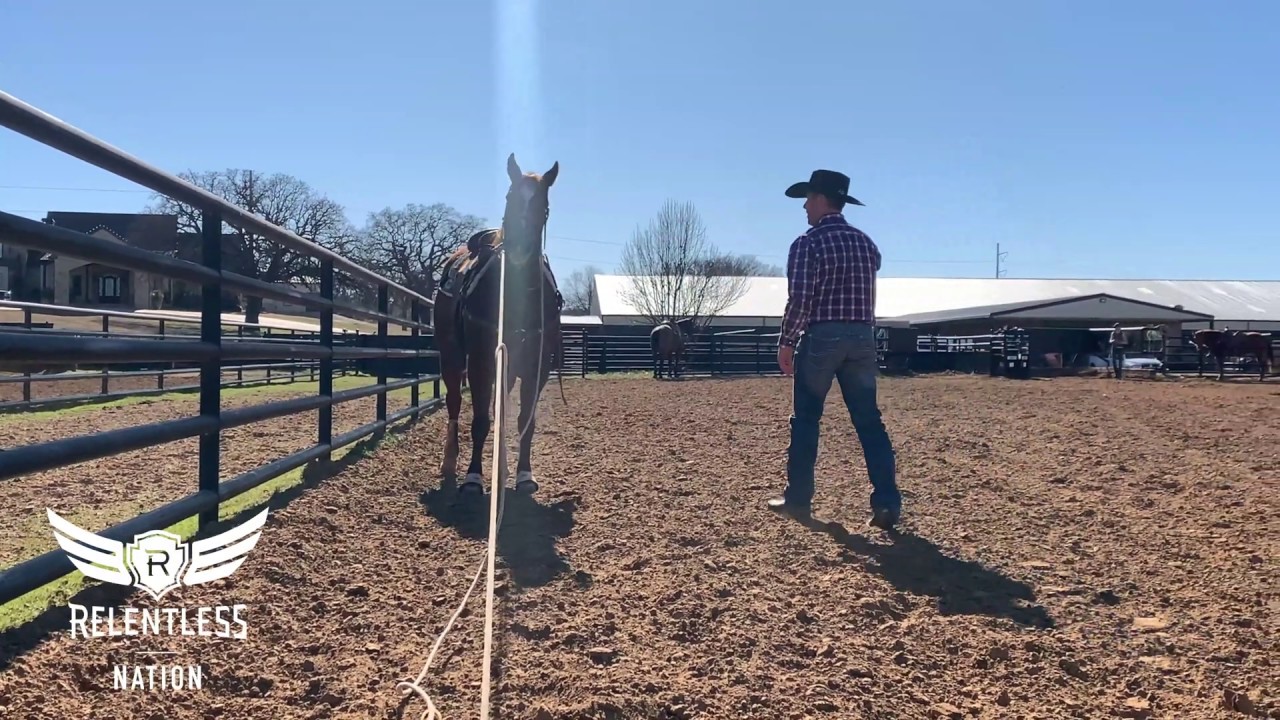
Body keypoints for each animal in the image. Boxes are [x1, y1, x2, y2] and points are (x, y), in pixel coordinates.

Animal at [432, 153, 562, 495]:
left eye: (543, 204)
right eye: (509, 197)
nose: (518, 252)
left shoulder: (536, 367)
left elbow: (523, 421)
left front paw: (524, 475)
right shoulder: (480, 362)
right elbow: (479, 420)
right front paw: (473, 477)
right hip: (450, 356)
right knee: (454, 402)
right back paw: (449, 462)